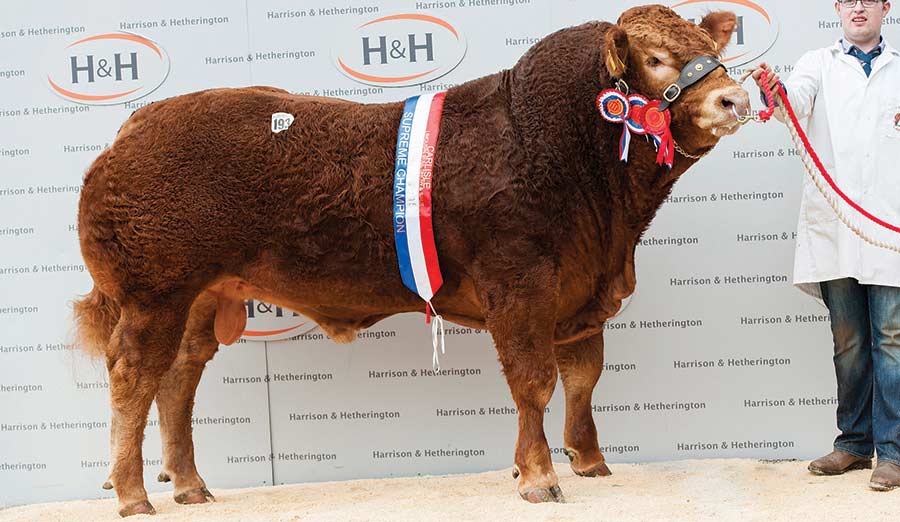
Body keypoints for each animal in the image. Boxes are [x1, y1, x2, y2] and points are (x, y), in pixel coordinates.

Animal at [73, 4, 749, 516]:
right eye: (655, 59)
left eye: (709, 49)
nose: (735, 98)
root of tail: (139, 123)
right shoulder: (520, 283)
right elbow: (534, 380)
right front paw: (538, 477)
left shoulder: (581, 291)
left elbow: (584, 379)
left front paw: (591, 463)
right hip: (153, 294)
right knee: (133, 376)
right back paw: (133, 494)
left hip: (201, 297)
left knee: (178, 378)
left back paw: (190, 486)